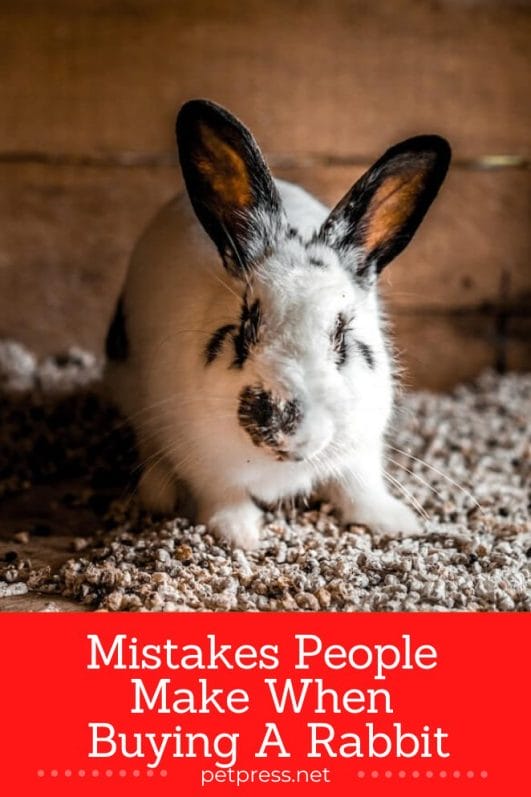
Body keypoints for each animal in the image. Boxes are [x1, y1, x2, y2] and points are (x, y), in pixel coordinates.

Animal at [105, 99, 450, 549]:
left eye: (342, 333)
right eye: (246, 325)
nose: (288, 427)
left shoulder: (362, 449)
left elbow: (359, 487)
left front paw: (395, 521)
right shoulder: (201, 458)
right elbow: (223, 494)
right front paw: (240, 533)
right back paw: (157, 493)